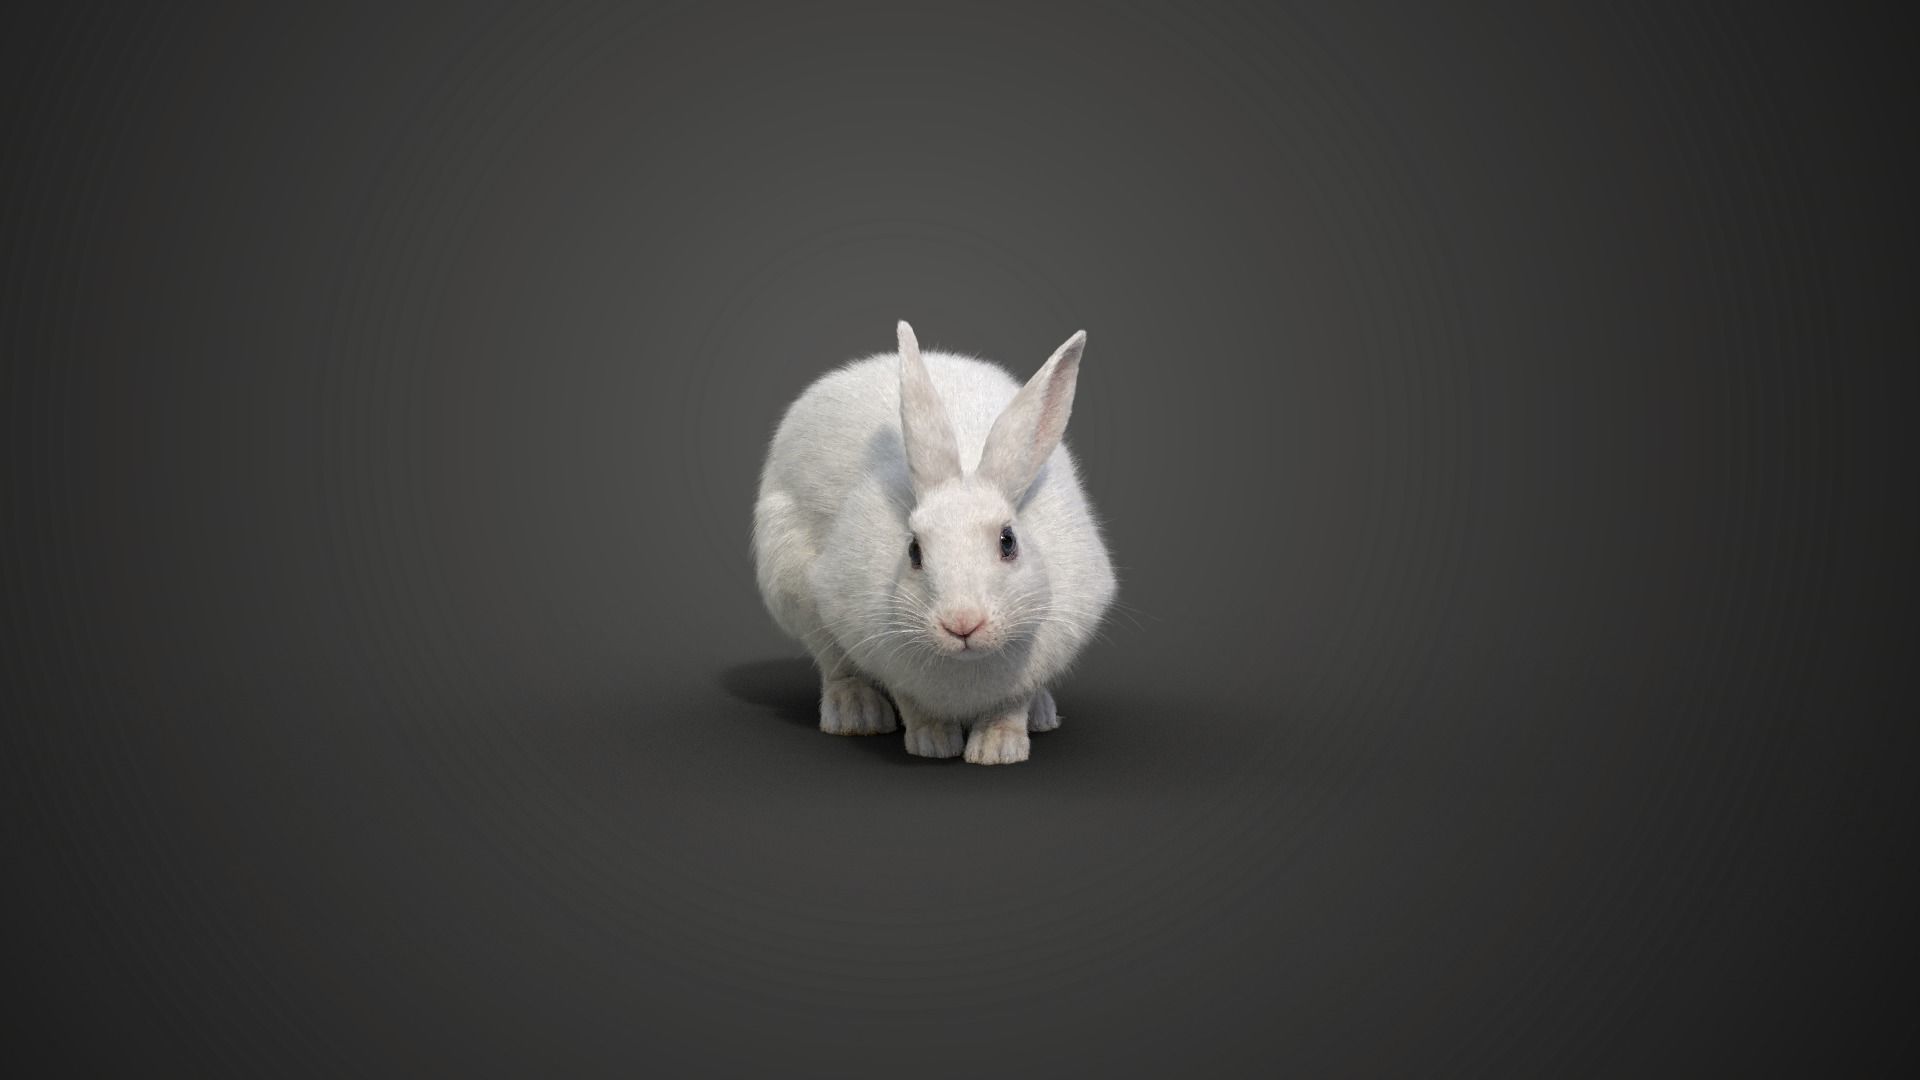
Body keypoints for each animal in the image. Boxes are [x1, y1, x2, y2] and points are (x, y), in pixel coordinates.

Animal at [751, 321, 1117, 765]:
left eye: (1008, 541)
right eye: (914, 551)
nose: (962, 623)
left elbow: (1010, 705)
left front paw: (998, 748)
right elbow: (913, 704)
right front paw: (933, 743)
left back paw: (1042, 715)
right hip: (792, 583)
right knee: (834, 664)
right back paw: (856, 712)